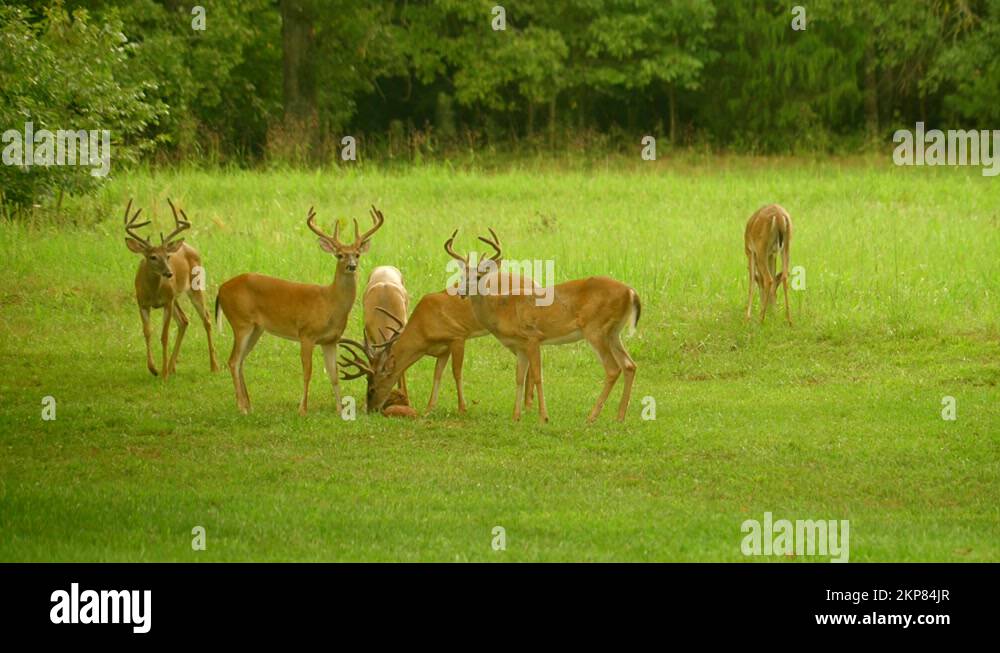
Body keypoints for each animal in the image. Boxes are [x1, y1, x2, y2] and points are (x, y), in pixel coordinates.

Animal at [123, 198, 219, 379]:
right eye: (152, 257)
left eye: (167, 256)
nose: (169, 273)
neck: (153, 292)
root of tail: (190, 247)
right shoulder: (142, 302)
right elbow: (147, 332)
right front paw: (153, 369)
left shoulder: (167, 301)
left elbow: (164, 336)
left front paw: (163, 374)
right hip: (175, 297)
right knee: (184, 321)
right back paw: (172, 366)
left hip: (194, 287)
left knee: (206, 318)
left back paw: (214, 366)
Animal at [215, 205, 384, 415]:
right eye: (340, 255)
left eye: (357, 254)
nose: (351, 266)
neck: (330, 303)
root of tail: (221, 289)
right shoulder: (306, 334)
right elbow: (307, 372)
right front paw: (302, 409)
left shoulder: (330, 340)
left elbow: (334, 375)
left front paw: (340, 409)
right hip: (240, 321)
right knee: (233, 360)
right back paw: (242, 408)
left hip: (256, 328)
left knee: (240, 361)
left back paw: (248, 405)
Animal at [444, 229, 640, 424]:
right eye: (461, 276)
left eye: (478, 277)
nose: (461, 292)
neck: (503, 310)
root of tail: (630, 292)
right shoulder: (520, 346)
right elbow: (519, 378)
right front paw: (516, 416)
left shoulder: (533, 337)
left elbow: (538, 376)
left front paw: (544, 416)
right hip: (613, 332)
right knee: (629, 365)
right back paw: (619, 417)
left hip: (595, 329)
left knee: (613, 368)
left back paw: (592, 416)